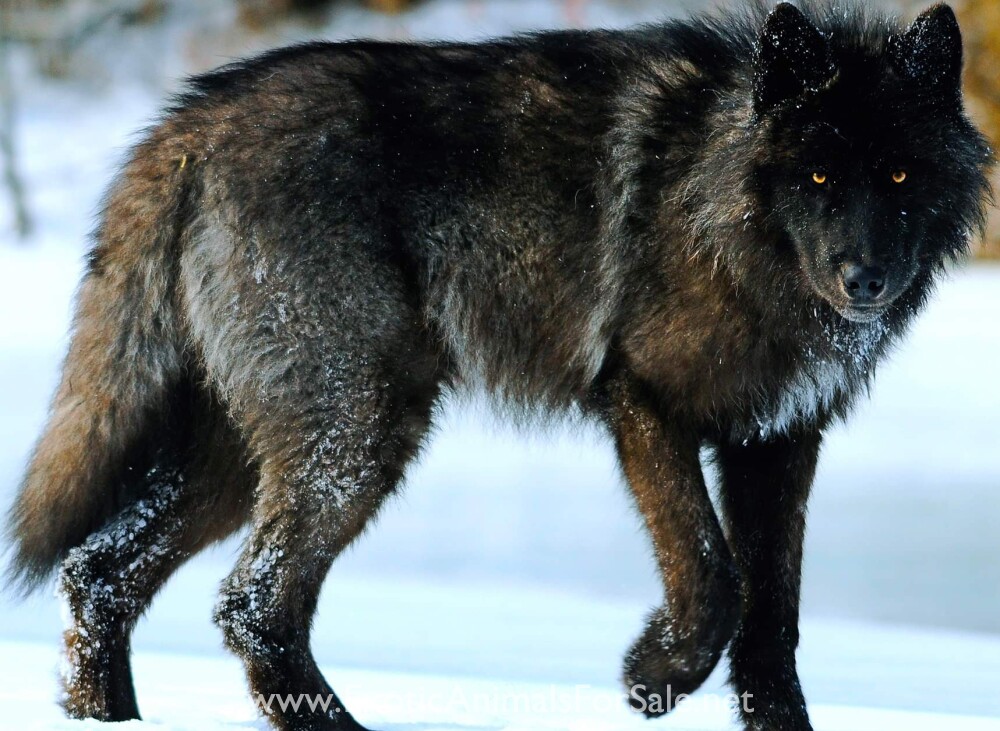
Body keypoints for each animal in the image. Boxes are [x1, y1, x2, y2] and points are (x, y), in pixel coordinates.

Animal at [5, 1, 992, 729]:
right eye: (819, 178)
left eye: (899, 177)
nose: (866, 279)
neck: (720, 212)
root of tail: (190, 119)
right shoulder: (642, 403)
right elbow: (715, 579)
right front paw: (654, 674)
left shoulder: (779, 440)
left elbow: (772, 618)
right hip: (357, 434)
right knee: (253, 602)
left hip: (245, 454)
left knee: (101, 570)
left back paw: (108, 718)